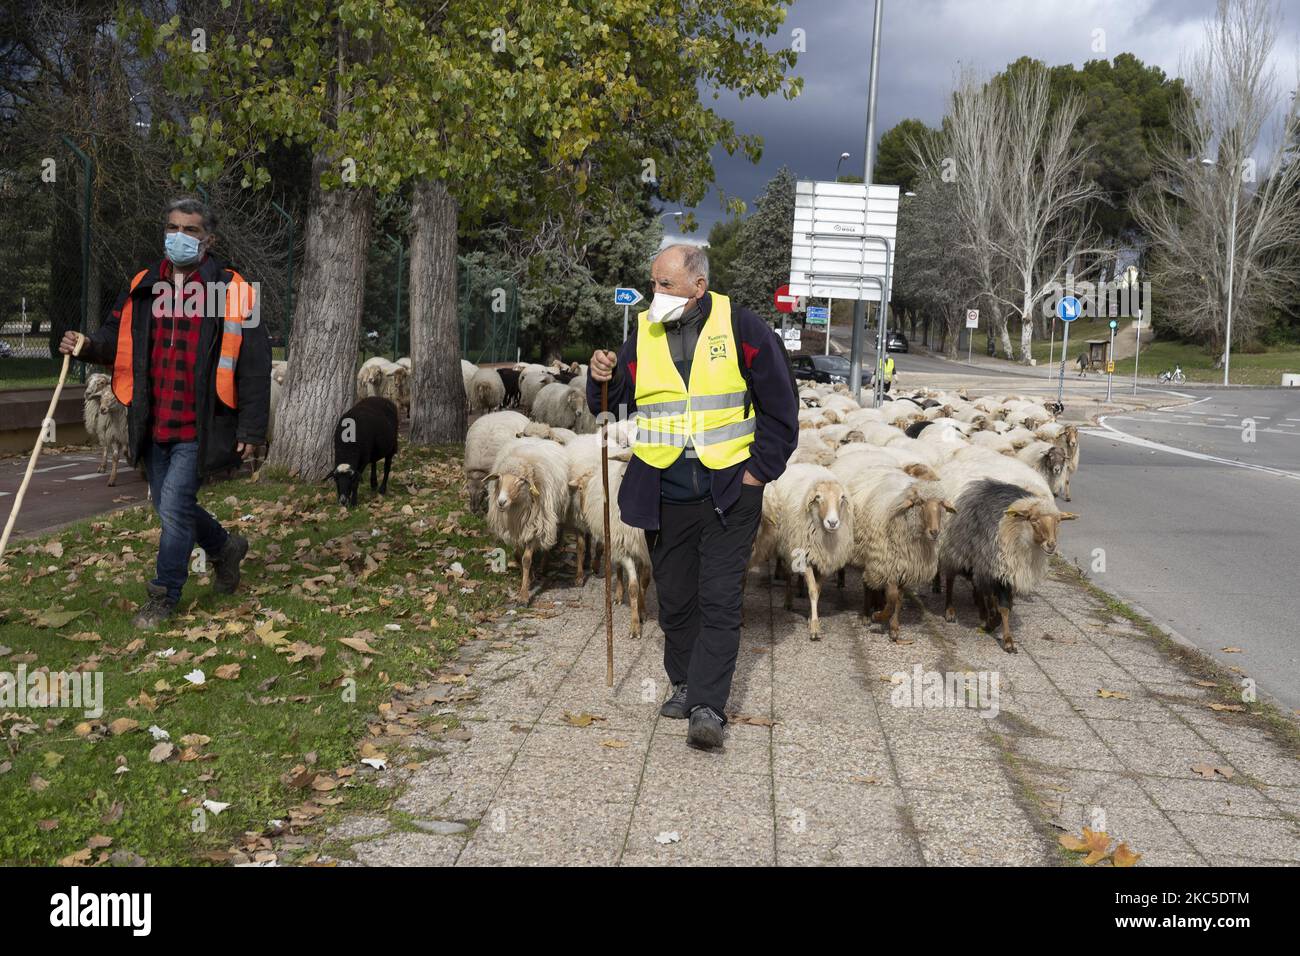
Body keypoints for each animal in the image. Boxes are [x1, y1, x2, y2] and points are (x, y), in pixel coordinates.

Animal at [485, 437, 570, 604]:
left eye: (521, 480)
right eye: (500, 478)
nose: (501, 502)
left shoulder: (535, 526)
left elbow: (526, 559)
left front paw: (524, 595)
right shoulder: (514, 529)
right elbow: (518, 556)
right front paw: (529, 578)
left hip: (551, 519)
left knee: (548, 545)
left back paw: (544, 566)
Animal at [750, 463, 854, 640]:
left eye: (842, 497)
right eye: (818, 497)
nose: (832, 522)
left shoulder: (826, 561)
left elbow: (817, 590)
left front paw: (811, 617)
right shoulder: (805, 558)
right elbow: (812, 590)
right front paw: (814, 627)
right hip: (787, 547)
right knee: (788, 575)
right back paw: (789, 601)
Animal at [831, 461, 955, 640]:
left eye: (941, 505)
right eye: (920, 503)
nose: (935, 532)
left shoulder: (904, 567)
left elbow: (898, 598)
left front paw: (894, 627)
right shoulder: (888, 564)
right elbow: (892, 597)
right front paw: (878, 616)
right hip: (869, 554)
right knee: (866, 583)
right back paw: (867, 614)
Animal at [938, 478, 1077, 653]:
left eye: (1058, 521)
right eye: (1034, 520)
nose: (1051, 545)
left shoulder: (1008, 572)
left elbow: (1005, 606)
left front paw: (997, 628)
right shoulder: (993, 569)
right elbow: (1001, 606)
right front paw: (999, 633)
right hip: (955, 549)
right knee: (950, 579)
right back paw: (950, 610)